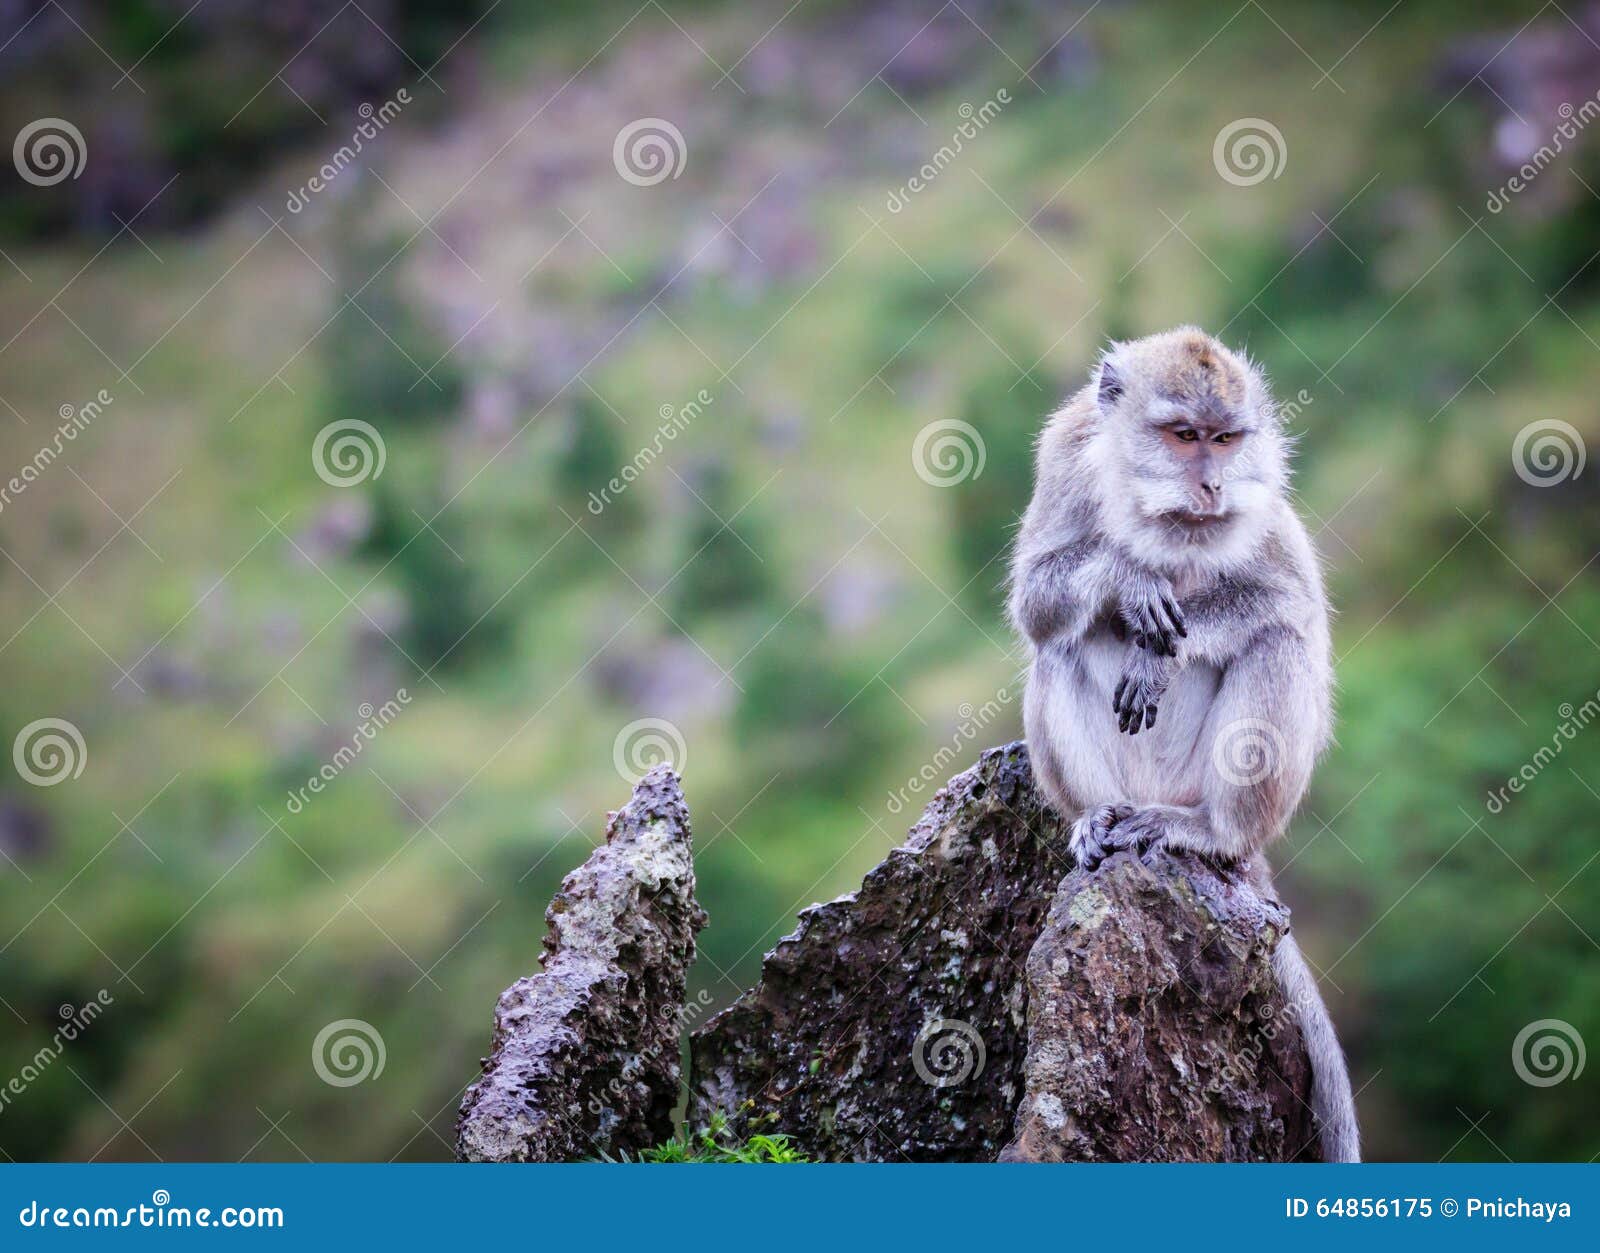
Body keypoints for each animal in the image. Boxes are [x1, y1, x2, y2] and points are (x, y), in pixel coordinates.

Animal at [1007, 326, 1360, 1163]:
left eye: (1225, 440)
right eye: (1183, 435)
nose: (1211, 486)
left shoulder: (1263, 490)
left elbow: (1286, 601)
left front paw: (1160, 646)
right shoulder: (1065, 453)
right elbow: (1037, 597)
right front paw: (1129, 577)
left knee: (1277, 639)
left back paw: (1212, 831)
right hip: (1129, 777)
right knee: (1057, 647)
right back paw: (1098, 817)